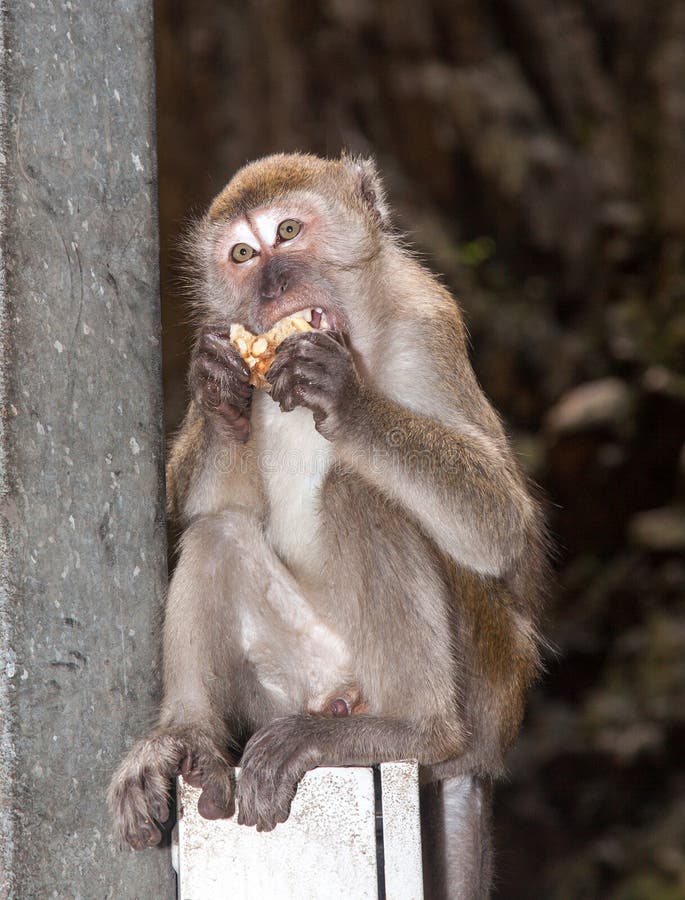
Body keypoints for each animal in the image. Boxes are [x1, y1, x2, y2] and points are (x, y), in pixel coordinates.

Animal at [108, 152, 547, 898]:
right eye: (243, 253)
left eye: (288, 231)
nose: (271, 281)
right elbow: (200, 506)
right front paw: (215, 385)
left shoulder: (427, 325)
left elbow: (498, 528)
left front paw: (346, 399)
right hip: (299, 679)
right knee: (218, 534)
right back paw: (184, 739)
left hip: (487, 681)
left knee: (358, 491)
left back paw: (418, 729)